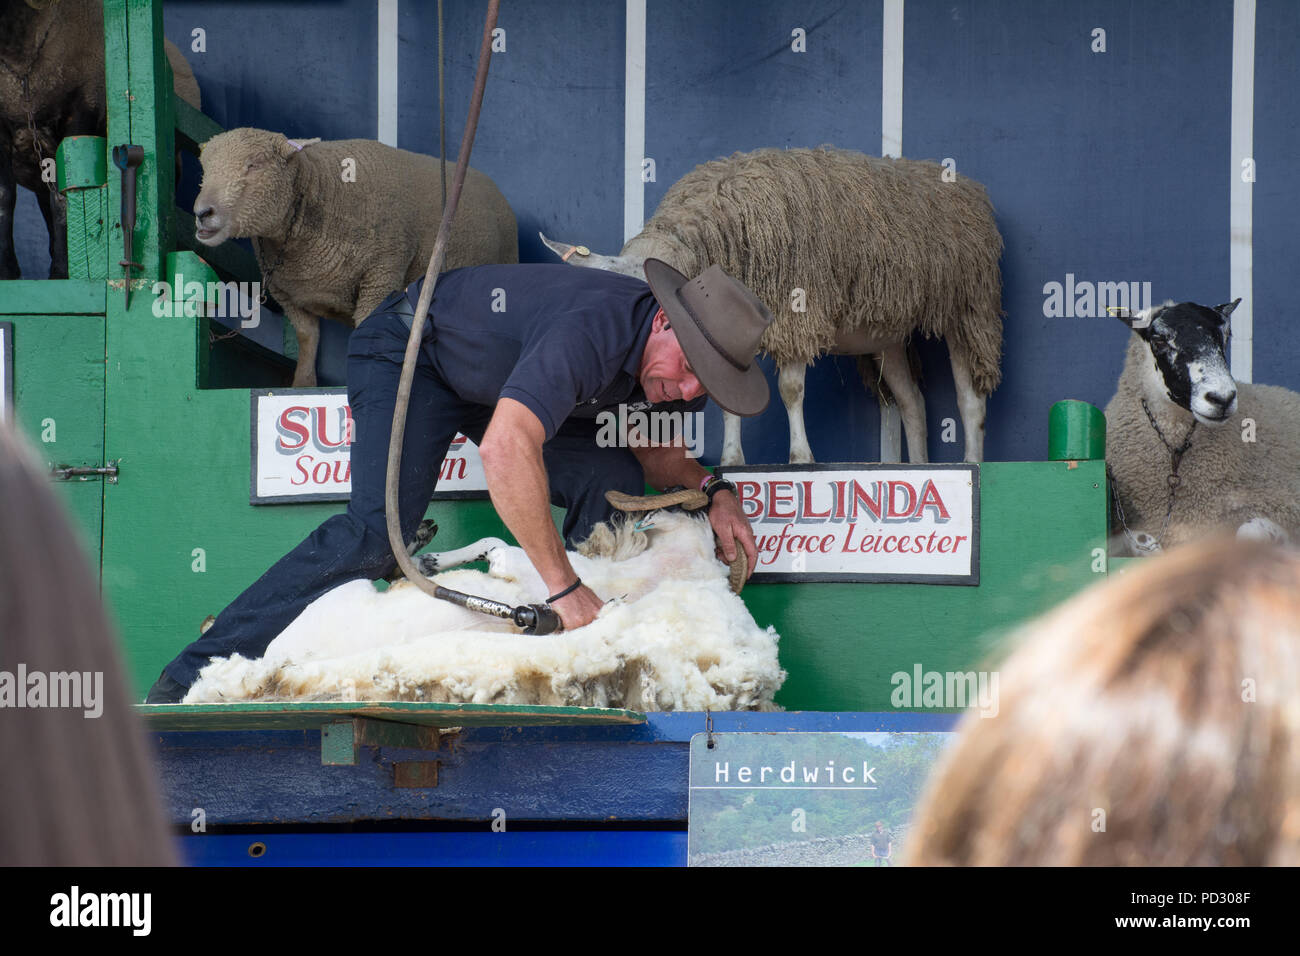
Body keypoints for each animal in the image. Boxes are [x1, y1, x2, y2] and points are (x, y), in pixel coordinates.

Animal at [185, 509, 786, 712]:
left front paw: (435, 560)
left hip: (346, 589)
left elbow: (496, 547)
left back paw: (416, 547)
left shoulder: (526, 570)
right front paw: (435, 560)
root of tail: (281, 656)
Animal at [193, 128, 518, 386]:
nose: (201, 212)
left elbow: (366, 328)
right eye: (204, 168)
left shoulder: (382, 273)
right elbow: (307, 340)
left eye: (254, 164)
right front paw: (302, 386)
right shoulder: (287, 294)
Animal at [542, 146, 1004, 464]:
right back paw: (917, 466)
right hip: (887, 332)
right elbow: (728, 402)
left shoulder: (798, 311)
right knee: (912, 403)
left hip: (970, 308)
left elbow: (790, 389)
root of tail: (963, 183)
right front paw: (733, 460)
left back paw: (972, 464)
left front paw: (800, 458)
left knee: (970, 400)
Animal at [1105, 299, 1300, 554]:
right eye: (1159, 340)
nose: (1223, 398)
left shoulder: (1284, 505)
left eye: (1226, 335)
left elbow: (1248, 532)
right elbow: (1139, 542)